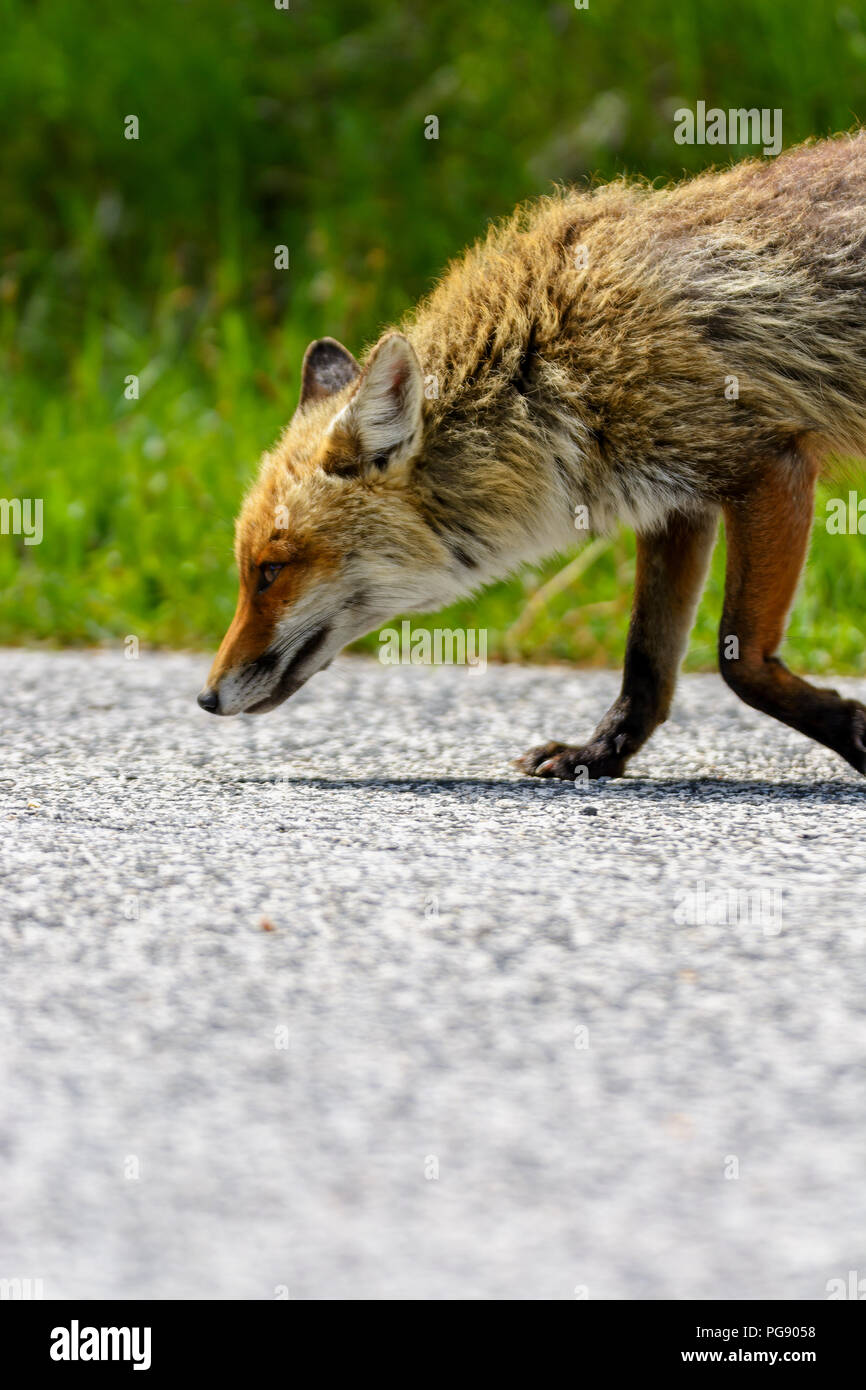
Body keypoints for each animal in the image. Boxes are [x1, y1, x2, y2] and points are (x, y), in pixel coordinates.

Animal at [199, 133, 866, 780]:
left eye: (271, 571)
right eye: (249, 572)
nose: (205, 699)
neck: (551, 368)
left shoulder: (764, 466)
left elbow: (740, 661)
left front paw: (852, 730)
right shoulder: (676, 505)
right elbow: (646, 661)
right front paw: (599, 754)